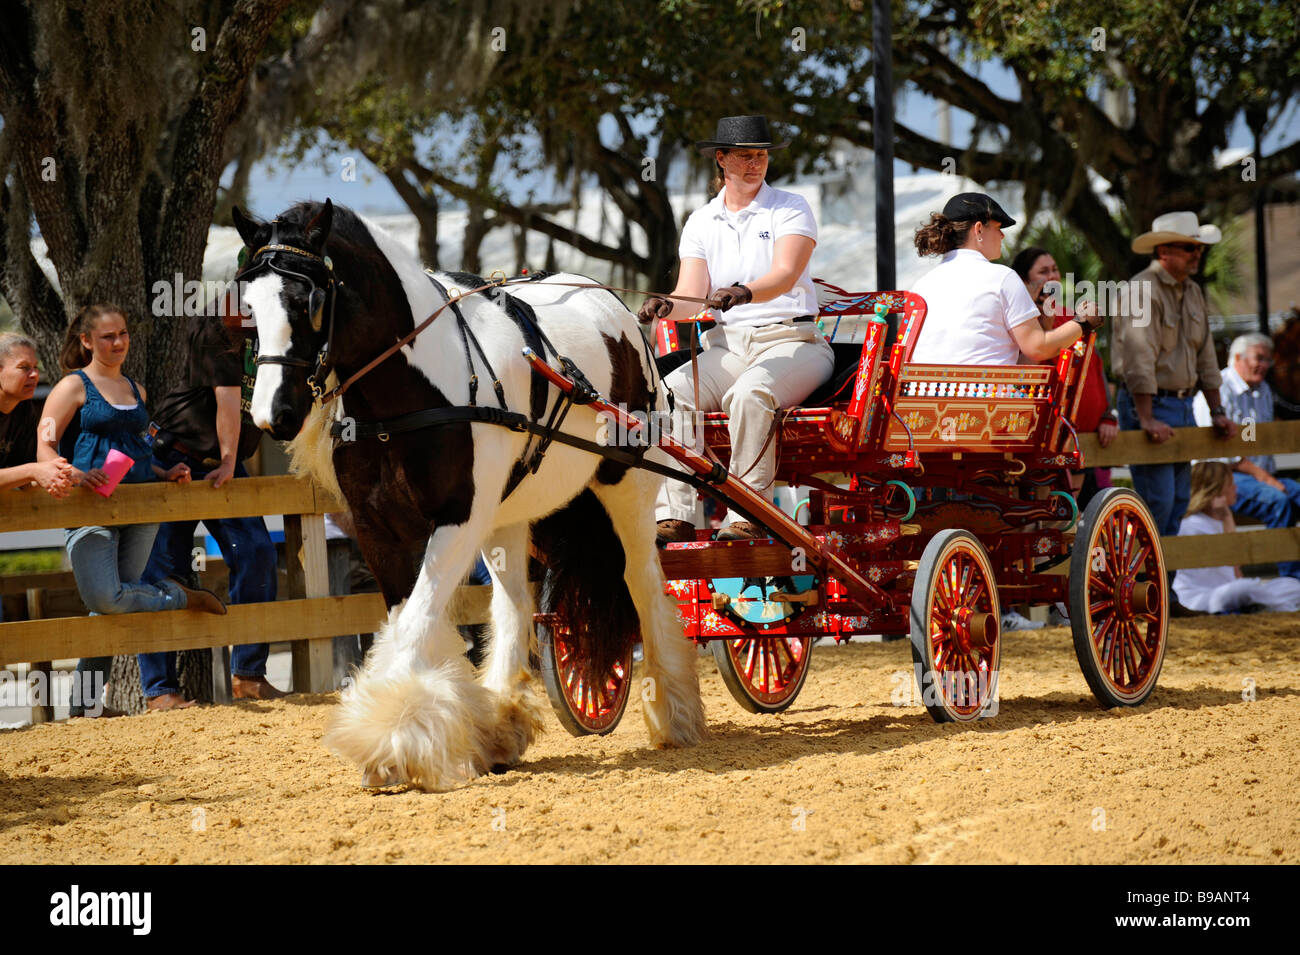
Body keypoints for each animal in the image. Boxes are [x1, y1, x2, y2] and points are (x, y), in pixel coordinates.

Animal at [232, 198, 706, 790]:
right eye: (248, 306)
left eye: (308, 301)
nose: (271, 415)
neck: (409, 397)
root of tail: (617, 310)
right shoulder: (376, 528)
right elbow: (412, 621)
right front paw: (435, 727)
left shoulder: (457, 519)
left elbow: (417, 623)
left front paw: (392, 741)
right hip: (508, 514)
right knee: (516, 604)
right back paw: (501, 724)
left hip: (628, 485)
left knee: (642, 583)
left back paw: (674, 711)